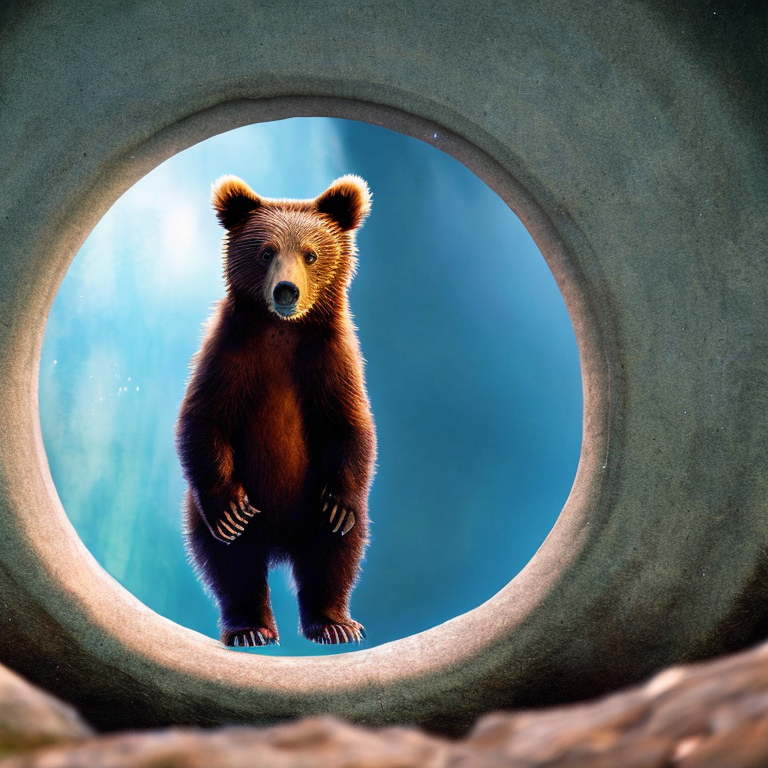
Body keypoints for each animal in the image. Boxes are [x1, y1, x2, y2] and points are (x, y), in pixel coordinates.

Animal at [176, 174, 377, 647]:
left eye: (311, 253)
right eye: (266, 251)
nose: (287, 290)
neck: (282, 332)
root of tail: (281, 543)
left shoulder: (329, 357)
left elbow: (350, 424)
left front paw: (341, 503)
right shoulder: (231, 352)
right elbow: (203, 419)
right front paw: (230, 509)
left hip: (313, 499)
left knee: (336, 548)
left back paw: (334, 622)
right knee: (232, 560)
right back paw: (250, 627)